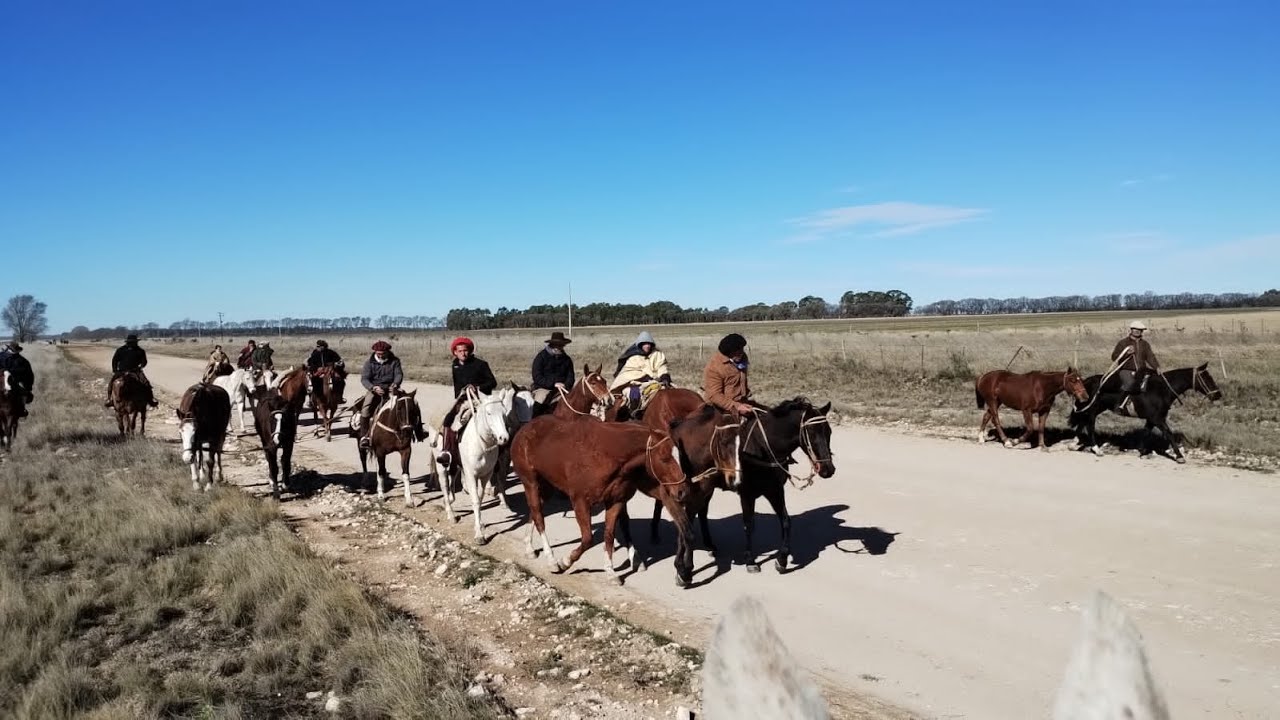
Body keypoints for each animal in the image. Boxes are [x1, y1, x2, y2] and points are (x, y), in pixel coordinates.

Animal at [439, 387, 513, 544]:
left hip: (456, 464)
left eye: (504, 413)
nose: (504, 438)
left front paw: (480, 525)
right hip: (442, 465)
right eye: (489, 413)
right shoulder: (471, 475)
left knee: (452, 480)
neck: (482, 445)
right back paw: (451, 514)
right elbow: (475, 501)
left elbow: (479, 498)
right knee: (444, 485)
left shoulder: (485, 475)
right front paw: (479, 534)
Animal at [511, 414, 696, 586]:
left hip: (547, 486)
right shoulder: (580, 502)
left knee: (534, 512)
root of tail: (525, 429)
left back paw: (529, 547)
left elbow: (609, 535)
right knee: (539, 517)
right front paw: (565, 562)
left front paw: (610, 571)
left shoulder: (615, 501)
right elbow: (587, 539)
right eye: (664, 458)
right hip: (531, 482)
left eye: (681, 456)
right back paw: (551, 559)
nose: (683, 491)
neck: (605, 455)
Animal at [1069, 364, 1222, 464]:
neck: (1161, 389)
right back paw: (1096, 449)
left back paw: (1074, 443)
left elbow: (1146, 432)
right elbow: (1169, 433)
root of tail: (1086, 381)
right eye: (1207, 378)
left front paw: (1142, 451)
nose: (1218, 395)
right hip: (1094, 409)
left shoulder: (1152, 419)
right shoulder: (1158, 419)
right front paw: (1179, 456)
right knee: (1089, 424)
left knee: (1083, 420)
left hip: (1097, 408)